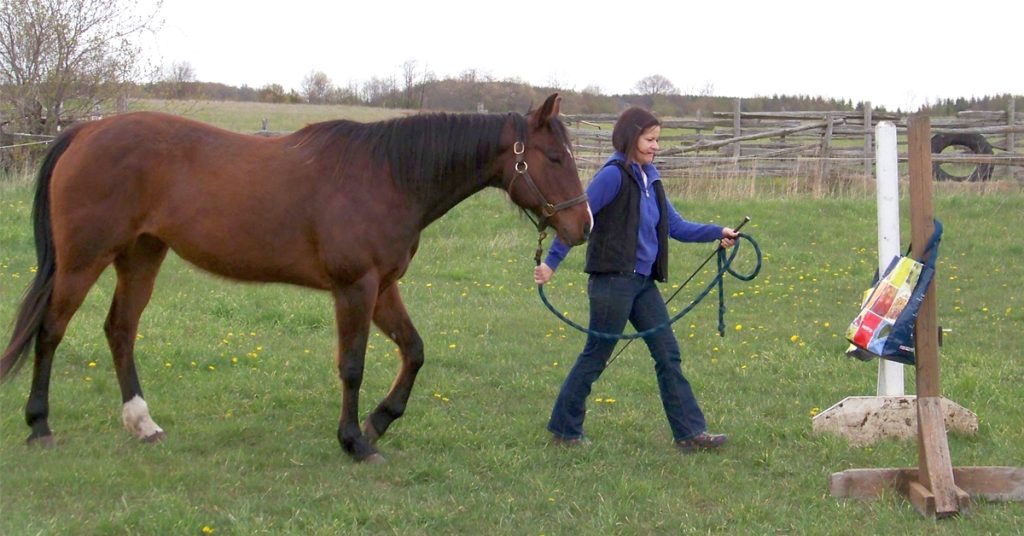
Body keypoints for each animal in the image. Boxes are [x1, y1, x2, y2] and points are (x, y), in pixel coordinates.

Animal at [0, 93, 591, 463]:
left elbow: (415, 350)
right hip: (84, 260)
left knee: (120, 330)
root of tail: (86, 131)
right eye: (554, 156)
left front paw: (379, 421)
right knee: (51, 332)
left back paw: (143, 423)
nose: (582, 225)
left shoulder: (383, 287)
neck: (387, 176)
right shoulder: (356, 288)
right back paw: (40, 426)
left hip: (142, 255)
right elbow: (352, 366)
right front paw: (355, 441)